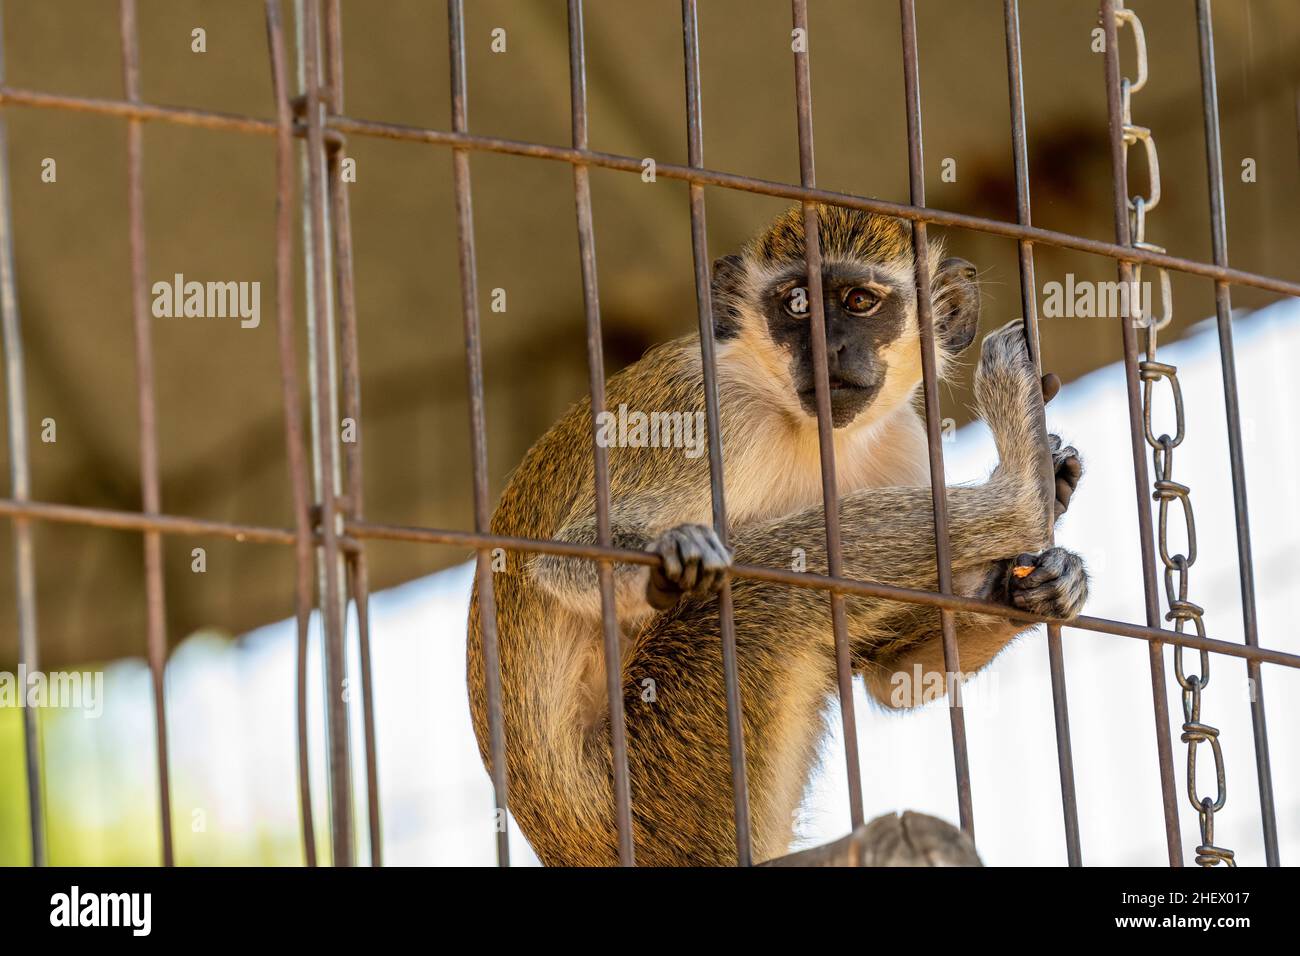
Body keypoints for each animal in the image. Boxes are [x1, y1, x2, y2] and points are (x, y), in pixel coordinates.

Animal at [467, 204, 1087, 867]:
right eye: (796, 304)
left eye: (859, 301)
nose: (825, 345)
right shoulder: (704, 412)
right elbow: (572, 557)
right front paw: (672, 553)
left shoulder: (901, 446)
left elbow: (892, 676)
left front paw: (1037, 587)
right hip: (664, 774)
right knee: (756, 595)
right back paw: (1025, 490)